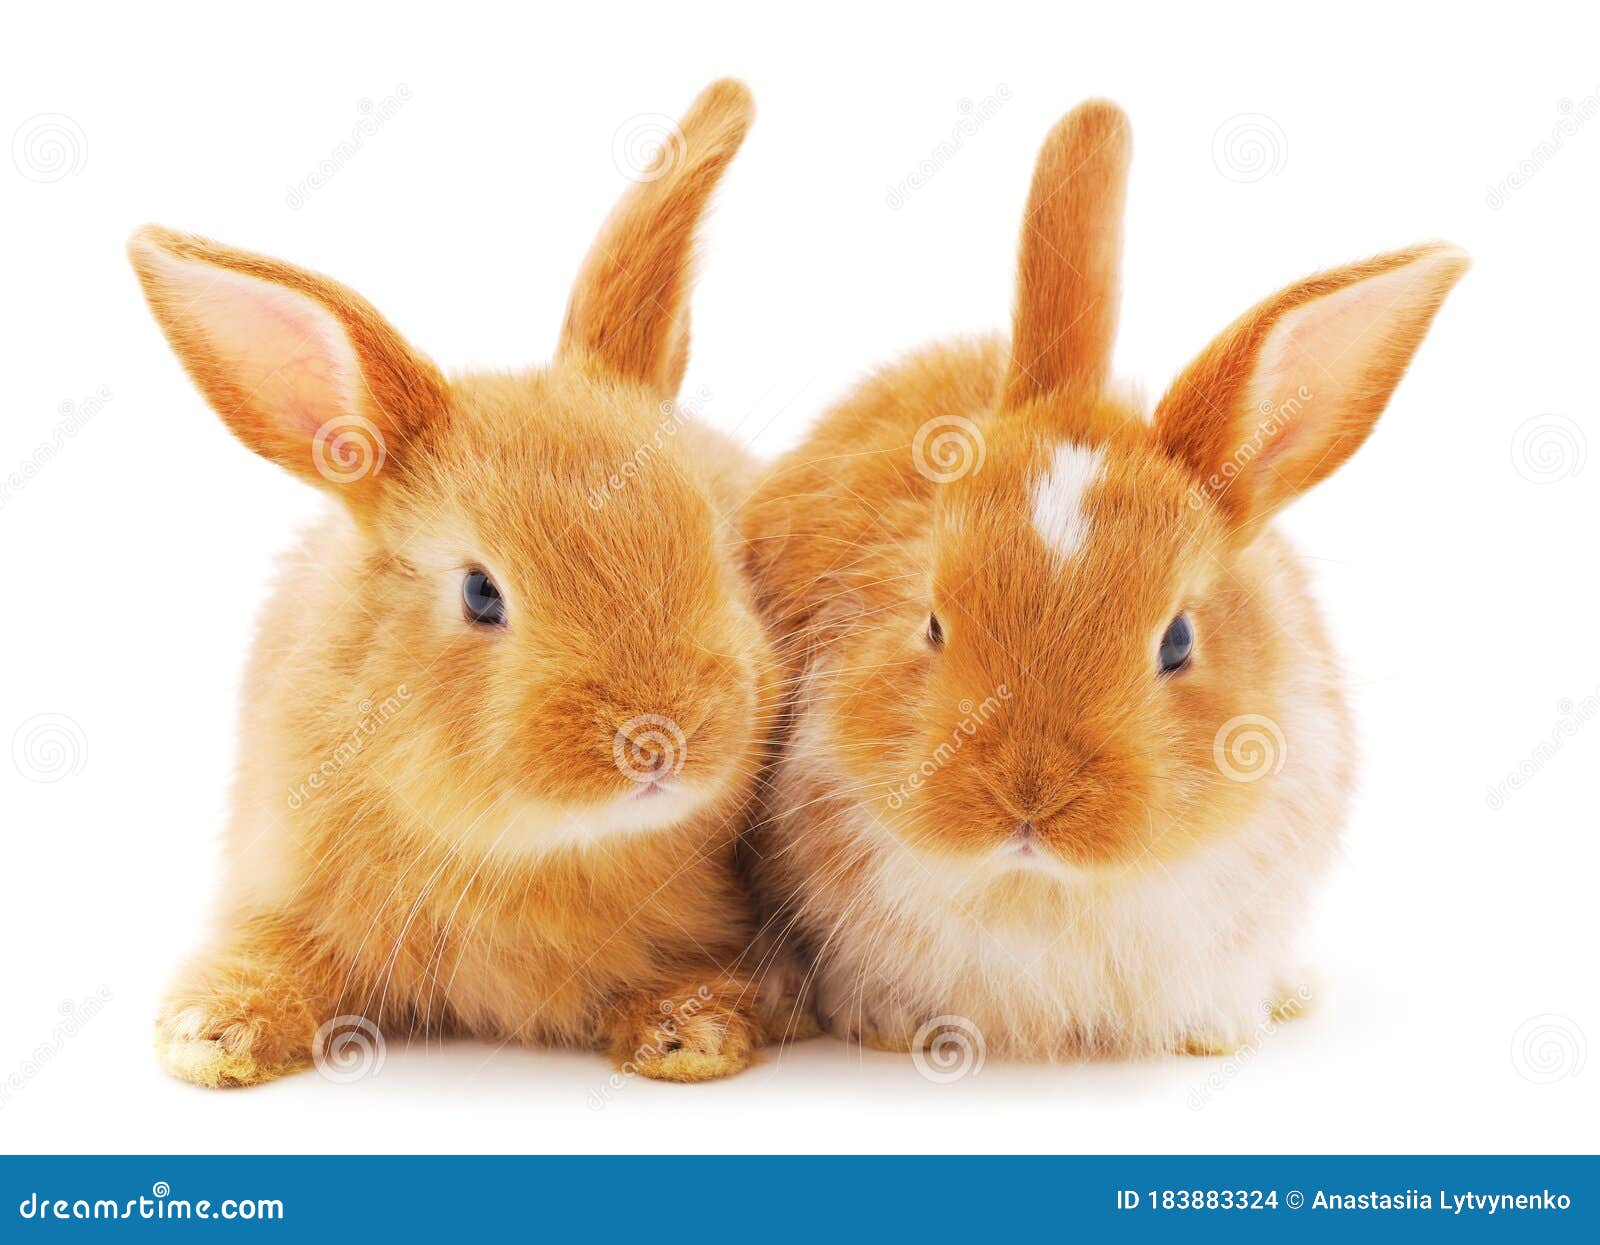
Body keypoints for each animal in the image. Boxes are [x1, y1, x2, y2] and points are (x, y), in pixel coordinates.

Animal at [130, 79, 778, 1087]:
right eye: (481, 593)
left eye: (715, 538)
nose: (659, 740)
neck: (529, 852)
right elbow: (273, 952)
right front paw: (211, 1034)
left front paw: (686, 1033)